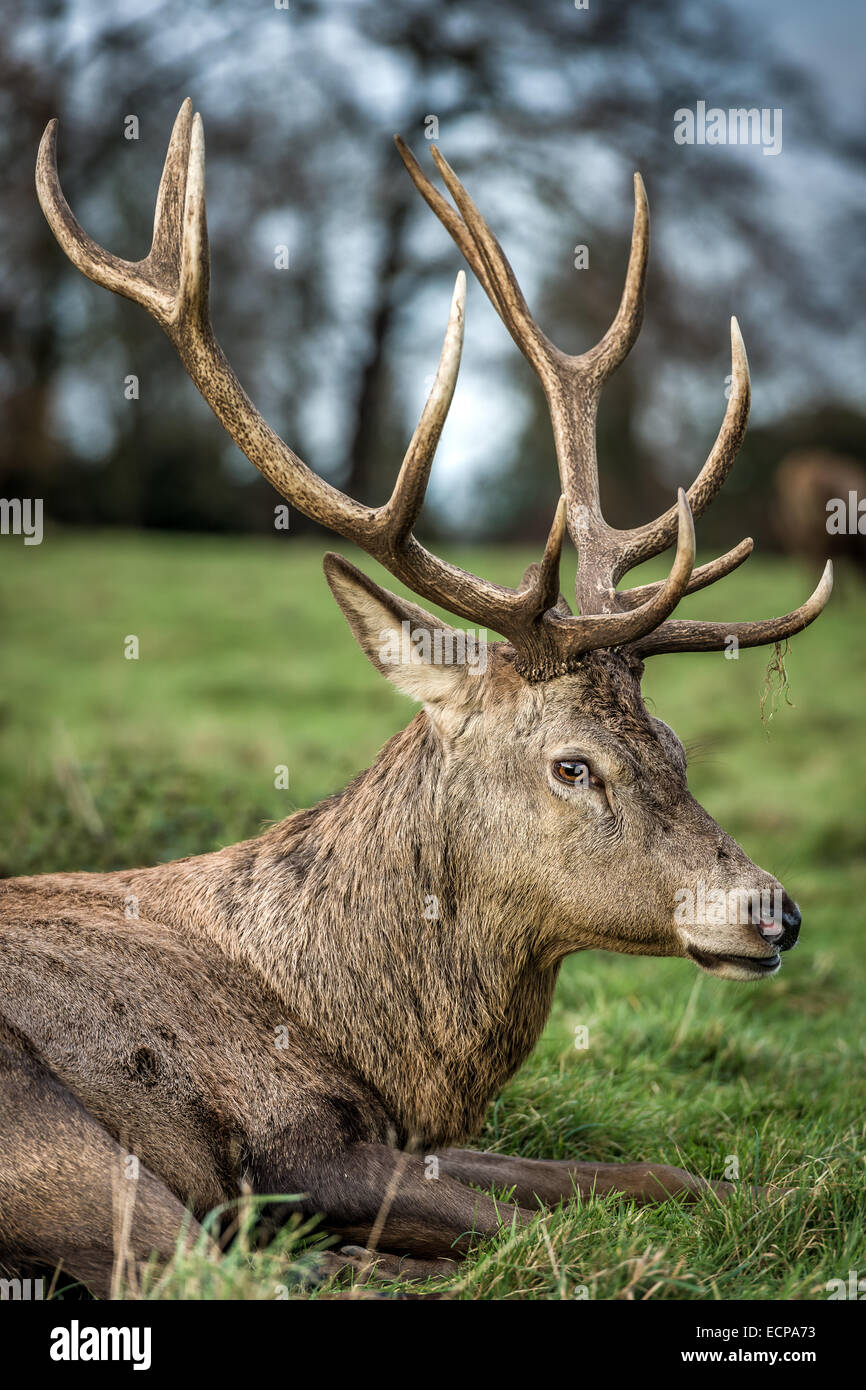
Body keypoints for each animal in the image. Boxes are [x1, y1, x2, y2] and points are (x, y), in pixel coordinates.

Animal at [0, 100, 832, 1298]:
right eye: (573, 763)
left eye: (676, 743)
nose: (773, 912)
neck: (363, 1031)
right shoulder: (291, 1136)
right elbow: (542, 1233)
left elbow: (654, 1176)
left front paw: (775, 1204)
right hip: (41, 1117)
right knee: (202, 1263)